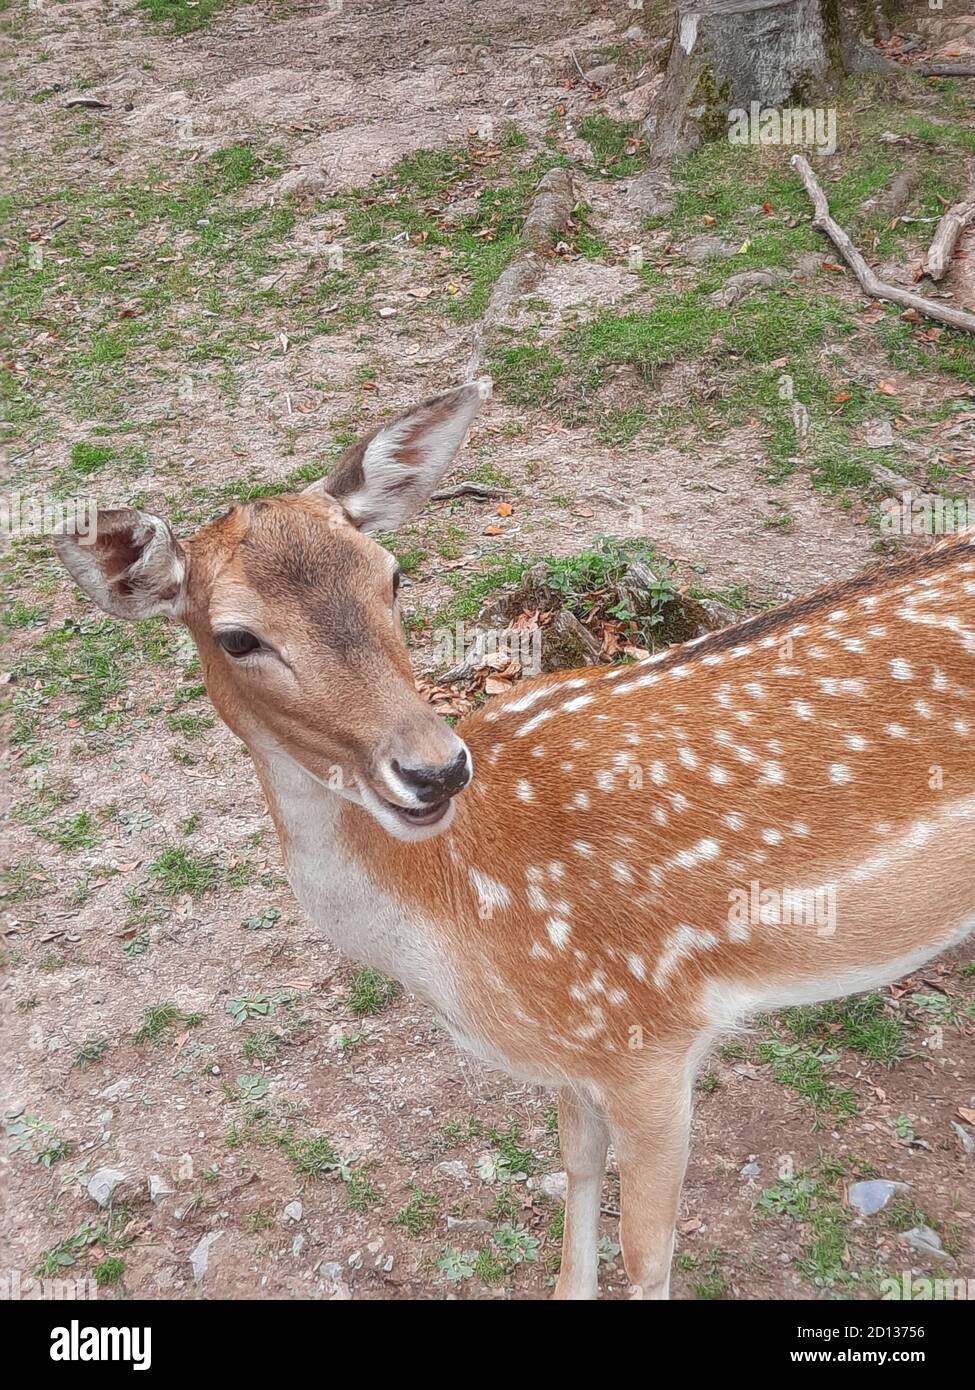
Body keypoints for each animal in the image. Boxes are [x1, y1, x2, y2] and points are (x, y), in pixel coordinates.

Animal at [54, 379, 975, 1299]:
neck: (463, 921)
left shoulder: (648, 1033)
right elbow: (576, 1166)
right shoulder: (583, 1047)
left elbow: (646, 1251)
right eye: (237, 636)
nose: (433, 771)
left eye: (394, 577)